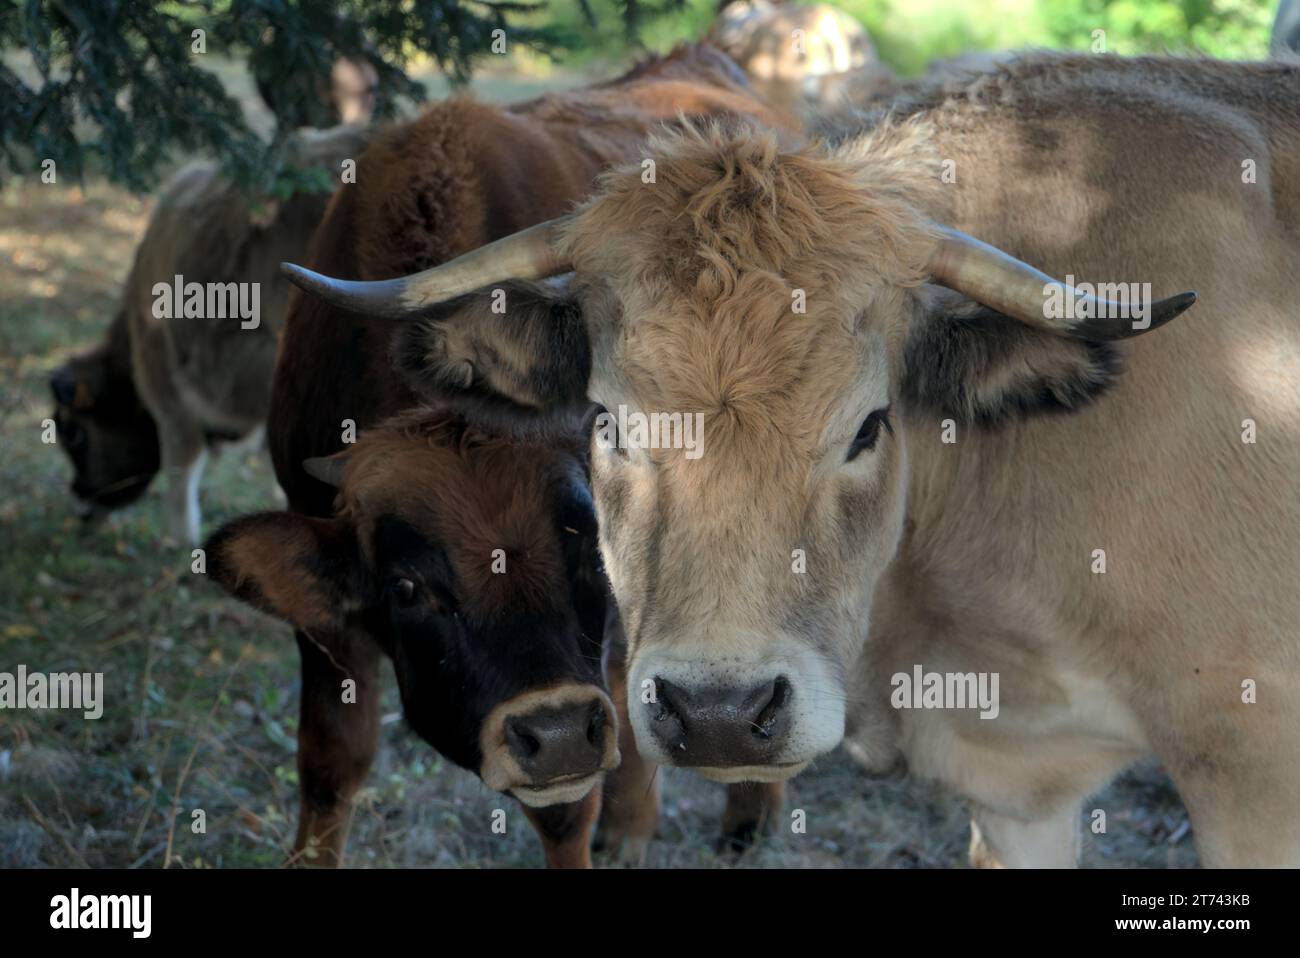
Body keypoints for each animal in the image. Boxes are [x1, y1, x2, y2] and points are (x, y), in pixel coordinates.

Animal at [206, 45, 799, 867]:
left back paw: (746, 814)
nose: (554, 732)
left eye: (583, 546)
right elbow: (329, 762)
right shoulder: (323, 606)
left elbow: (567, 811)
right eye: (408, 587)